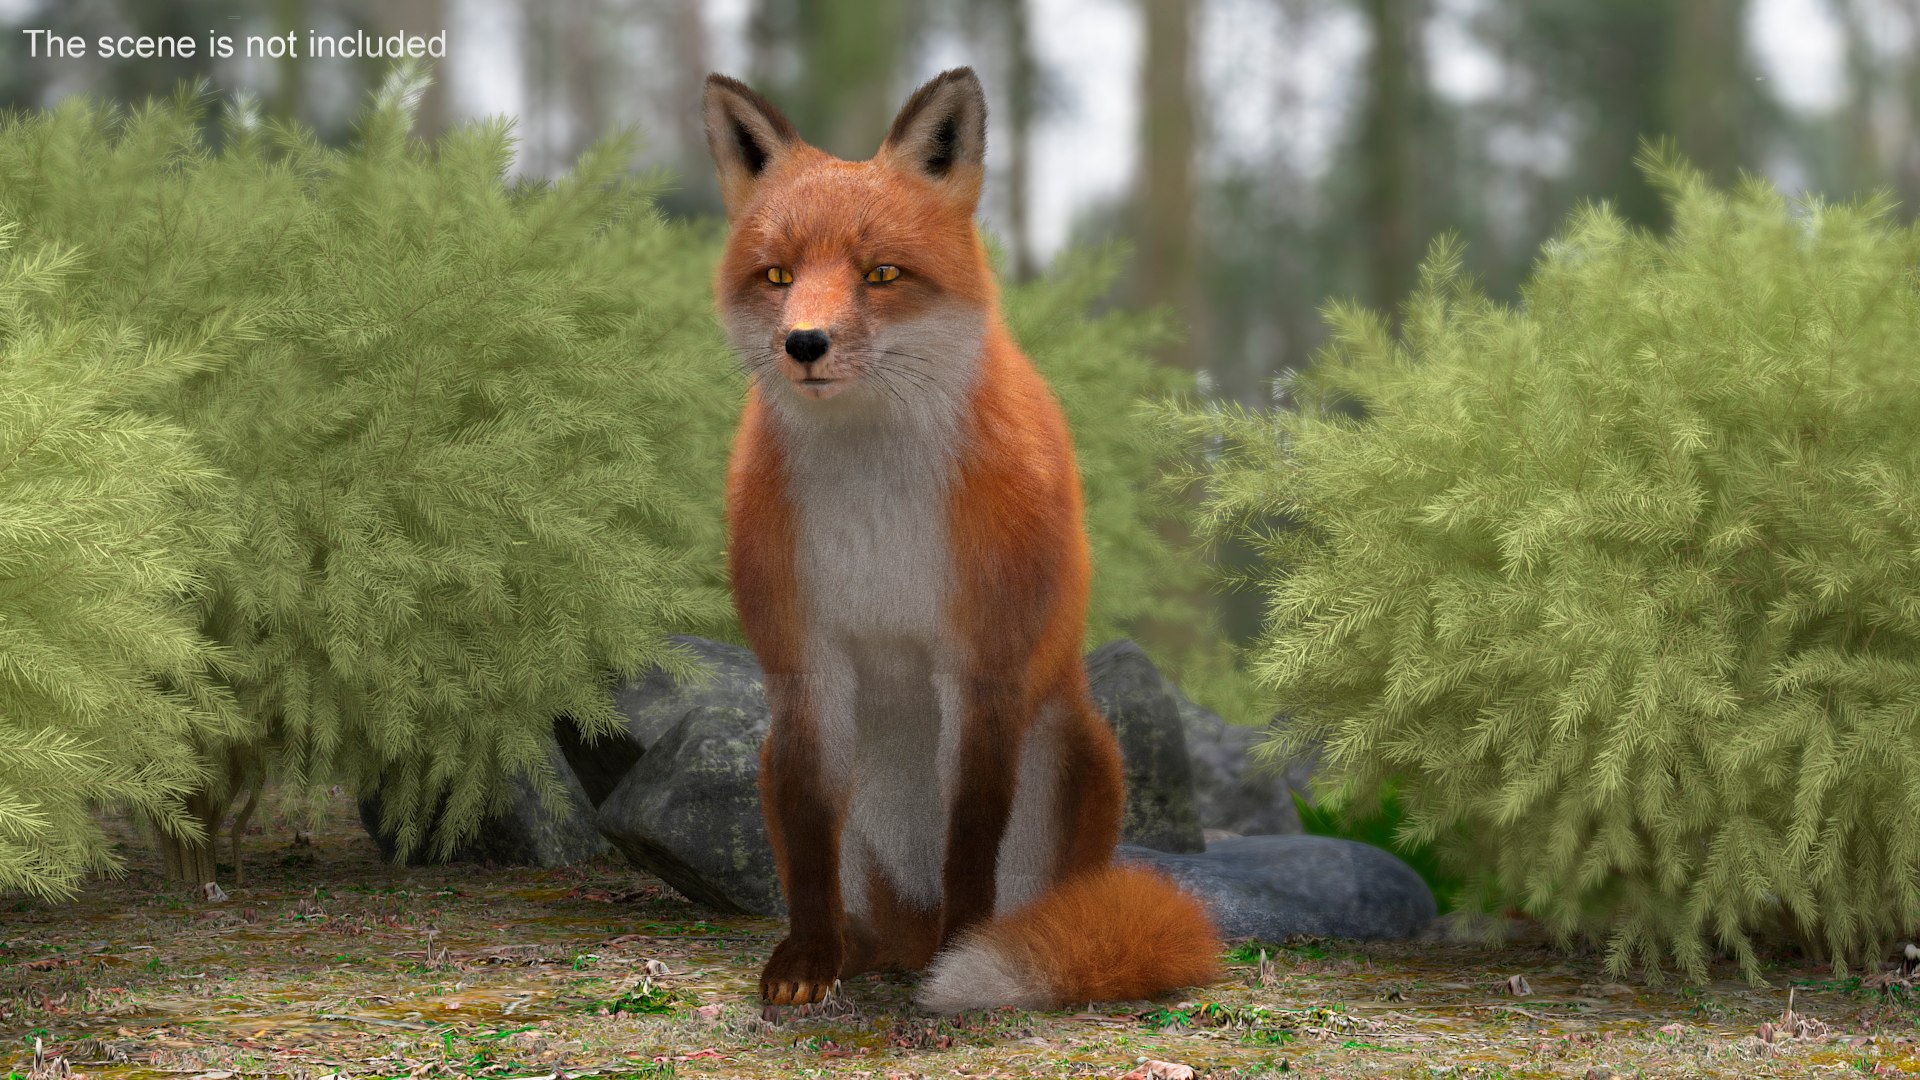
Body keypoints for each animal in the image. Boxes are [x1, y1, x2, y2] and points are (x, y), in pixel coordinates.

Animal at [702, 66, 1221, 1013]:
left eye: (881, 273)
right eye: (778, 275)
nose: (804, 343)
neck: (877, 505)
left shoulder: (983, 667)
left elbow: (971, 841)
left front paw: (966, 950)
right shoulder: (803, 668)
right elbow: (809, 842)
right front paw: (807, 960)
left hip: (1086, 755)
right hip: (778, 758)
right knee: (858, 904)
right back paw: (860, 951)